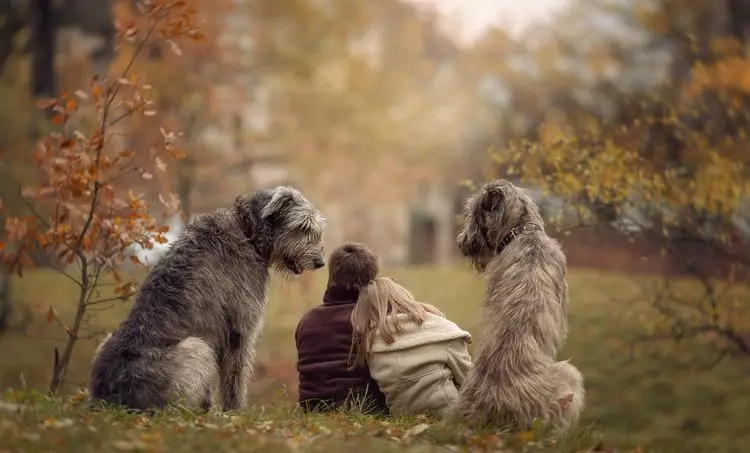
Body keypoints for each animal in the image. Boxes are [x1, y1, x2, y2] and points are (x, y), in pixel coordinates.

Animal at [89, 185, 328, 412]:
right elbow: (235, 377)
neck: (247, 231)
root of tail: (110, 396)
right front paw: (235, 412)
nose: (320, 262)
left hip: (107, 342)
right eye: (303, 227)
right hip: (197, 348)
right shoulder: (240, 329)